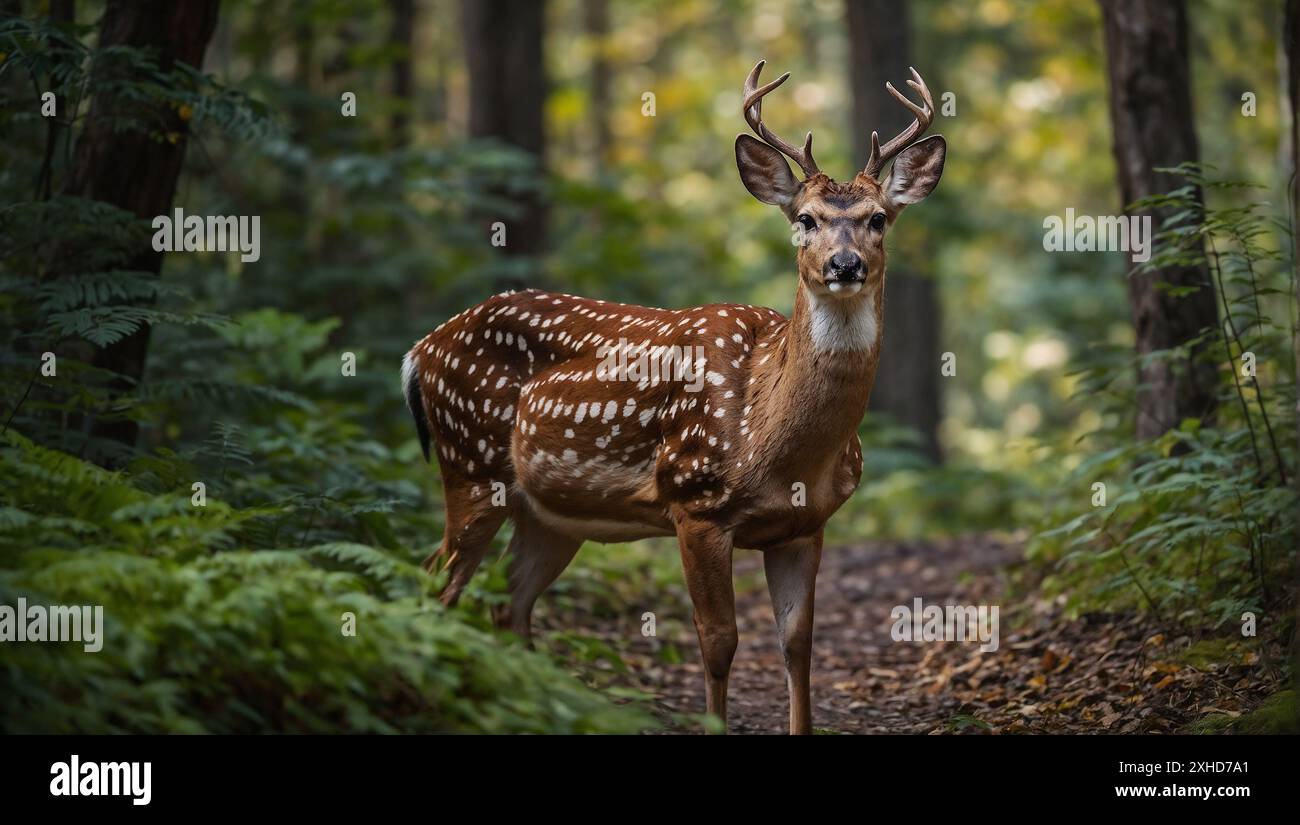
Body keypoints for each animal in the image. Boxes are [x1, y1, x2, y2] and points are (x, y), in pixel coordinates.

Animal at [401, 61, 945, 734]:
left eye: (878, 219)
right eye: (805, 219)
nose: (845, 264)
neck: (774, 443)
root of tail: (420, 350)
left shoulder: (806, 525)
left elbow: (797, 644)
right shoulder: (694, 501)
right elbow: (718, 640)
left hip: (549, 513)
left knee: (509, 601)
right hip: (470, 463)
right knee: (435, 584)